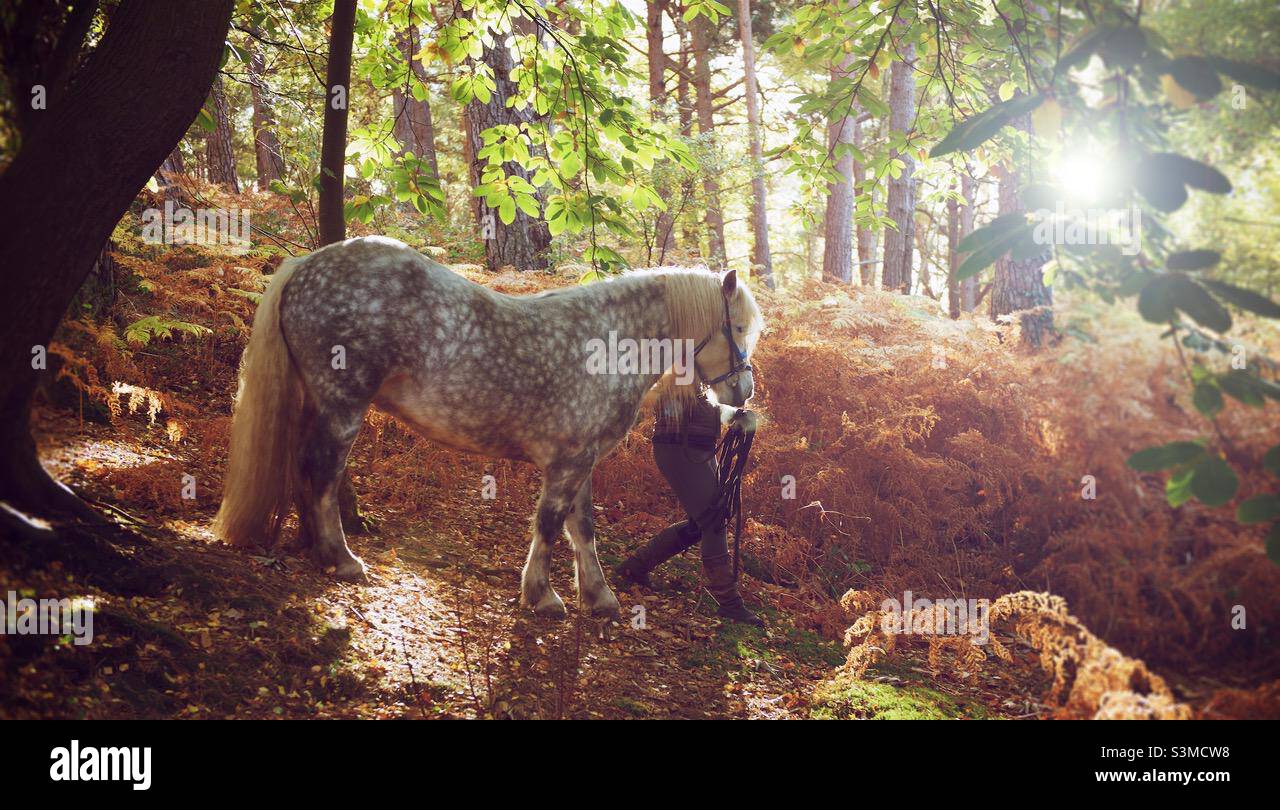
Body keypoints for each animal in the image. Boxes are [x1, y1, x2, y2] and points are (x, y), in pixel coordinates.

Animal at [212, 236, 763, 620]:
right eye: (736, 328)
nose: (744, 393)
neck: (607, 344)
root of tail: (305, 265)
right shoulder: (566, 463)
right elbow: (549, 524)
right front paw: (542, 595)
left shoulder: (580, 460)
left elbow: (581, 528)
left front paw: (598, 597)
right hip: (342, 407)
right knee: (322, 472)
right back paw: (341, 558)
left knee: (303, 469)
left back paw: (314, 547)